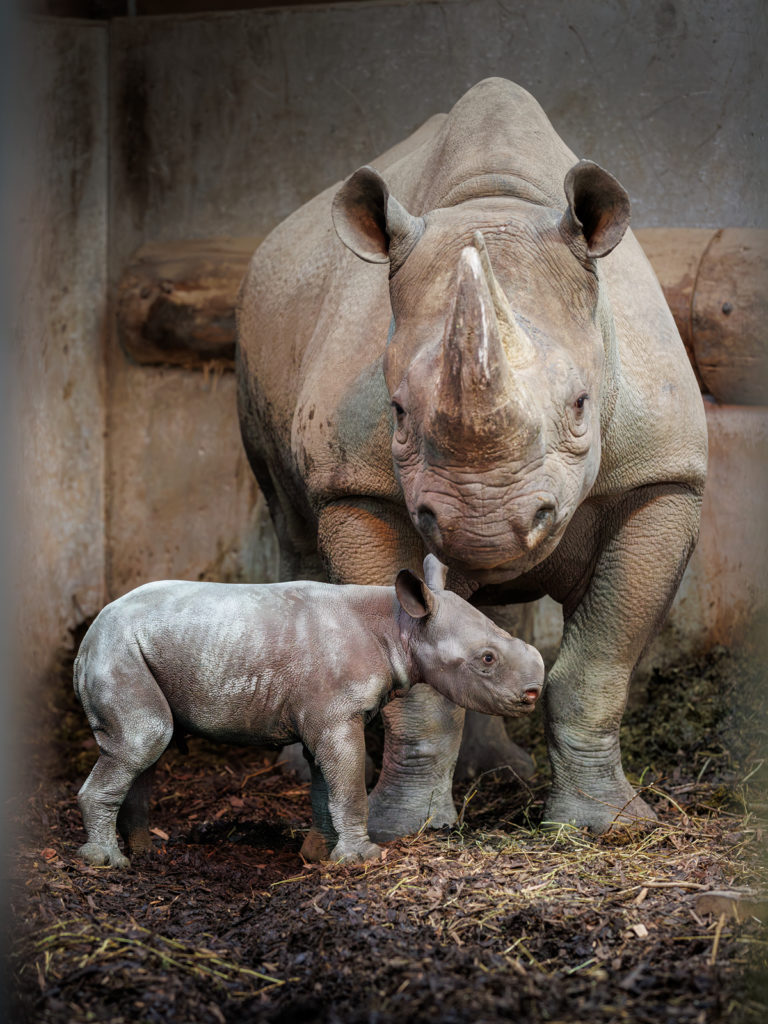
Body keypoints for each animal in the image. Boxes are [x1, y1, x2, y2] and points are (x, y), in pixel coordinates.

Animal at [74, 555, 544, 867]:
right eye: (487, 659)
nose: (533, 693)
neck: (401, 625)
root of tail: (87, 638)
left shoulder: (328, 717)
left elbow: (325, 785)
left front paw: (317, 855)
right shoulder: (337, 717)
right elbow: (349, 788)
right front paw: (363, 858)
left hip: (139, 646)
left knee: (147, 748)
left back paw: (146, 852)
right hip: (118, 650)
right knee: (145, 738)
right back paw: (106, 862)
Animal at [236, 78, 707, 839]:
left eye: (582, 405)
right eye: (397, 412)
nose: (483, 526)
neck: (495, 201)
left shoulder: (662, 477)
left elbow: (597, 667)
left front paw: (608, 825)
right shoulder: (359, 488)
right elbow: (415, 680)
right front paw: (404, 830)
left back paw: (498, 771)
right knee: (291, 522)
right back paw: (300, 770)